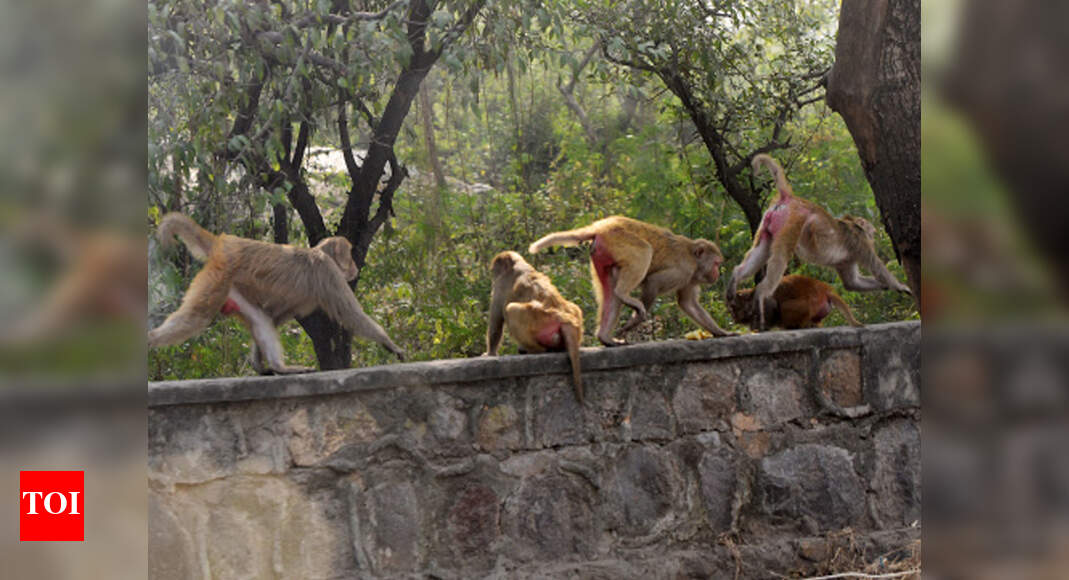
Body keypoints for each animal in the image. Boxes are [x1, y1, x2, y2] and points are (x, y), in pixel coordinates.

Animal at [148, 213, 404, 374]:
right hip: (218, 278)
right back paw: (151, 340)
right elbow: (351, 315)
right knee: (195, 318)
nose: (354, 267)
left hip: (232, 285)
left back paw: (279, 368)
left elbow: (274, 317)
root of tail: (223, 243)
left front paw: (257, 360)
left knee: (260, 319)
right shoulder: (329, 273)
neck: (320, 253)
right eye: (349, 254)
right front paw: (389, 343)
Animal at [485, 251, 585, 404]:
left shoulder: (500, 286)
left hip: (539, 319)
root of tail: (566, 319)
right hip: (571, 315)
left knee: (511, 310)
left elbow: (496, 322)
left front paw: (490, 353)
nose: (493, 278)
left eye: (495, 271)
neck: (517, 265)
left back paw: (534, 350)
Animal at [528, 216, 733, 346]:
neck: (693, 257)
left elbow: (687, 303)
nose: (717, 273)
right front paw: (634, 323)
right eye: (716, 263)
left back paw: (604, 337)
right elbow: (653, 282)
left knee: (611, 291)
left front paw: (721, 332)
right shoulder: (683, 270)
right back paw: (624, 295)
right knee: (644, 252)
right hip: (621, 240)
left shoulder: (690, 278)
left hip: (603, 253)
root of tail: (600, 227)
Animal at [727, 274, 863, 330]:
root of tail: (825, 289)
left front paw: (762, 328)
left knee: (786, 306)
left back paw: (797, 325)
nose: (733, 317)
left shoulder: (762, 302)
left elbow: (772, 304)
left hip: (813, 303)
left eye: (733, 307)